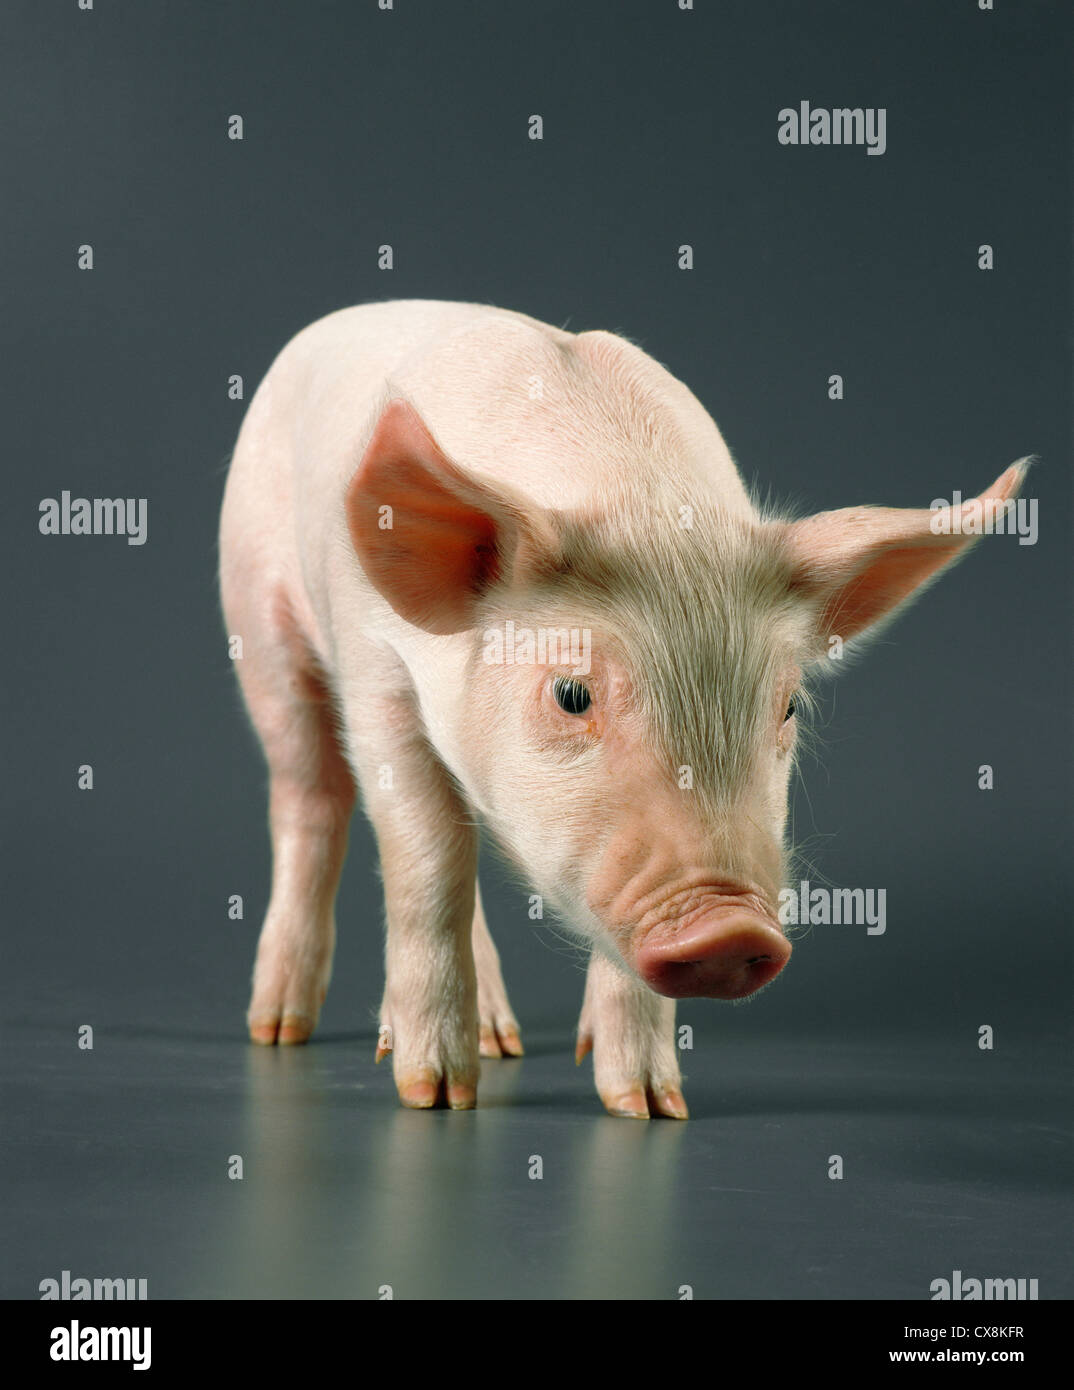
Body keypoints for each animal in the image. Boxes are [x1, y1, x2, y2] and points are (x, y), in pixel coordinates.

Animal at [219, 299, 1026, 1118]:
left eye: (790, 705)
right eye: (571, 694)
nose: (730, 927)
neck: (641, 504)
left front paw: (650, 1108)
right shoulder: (377, 671)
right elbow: (431, 861)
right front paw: (437, 1099)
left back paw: (502, 1042)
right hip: (255, 614)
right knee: (309, 797)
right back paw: (277, 1029)